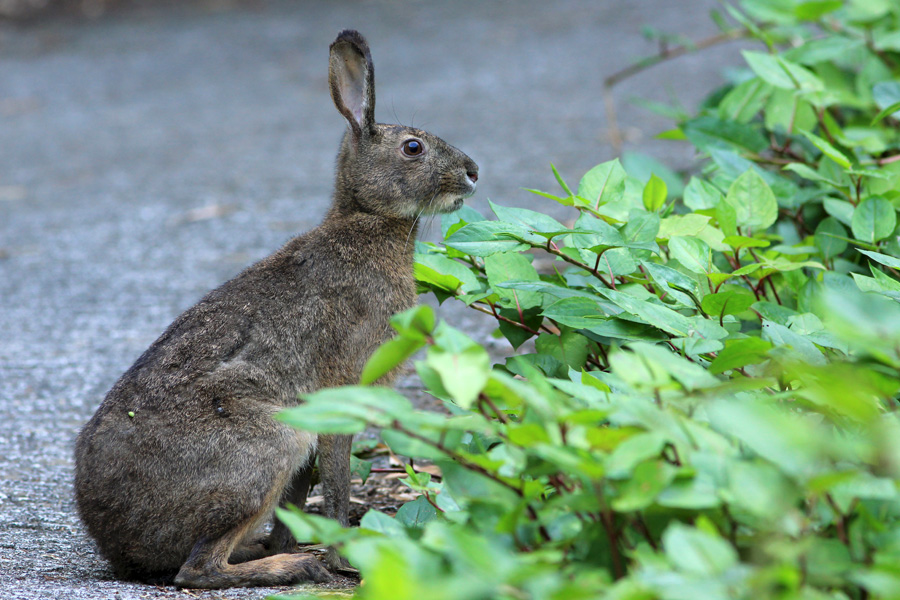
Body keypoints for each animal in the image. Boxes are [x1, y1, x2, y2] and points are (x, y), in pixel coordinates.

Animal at [74, 29, 478, 590]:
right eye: (412, 147)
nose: (473, 172)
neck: (367, 220)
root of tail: (116, 545)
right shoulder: (341, 391)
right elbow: (335, 481)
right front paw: (344, 560)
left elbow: (300, 498)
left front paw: (307, 544)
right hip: (268, 445)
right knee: (196, 571)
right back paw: (291, 566)